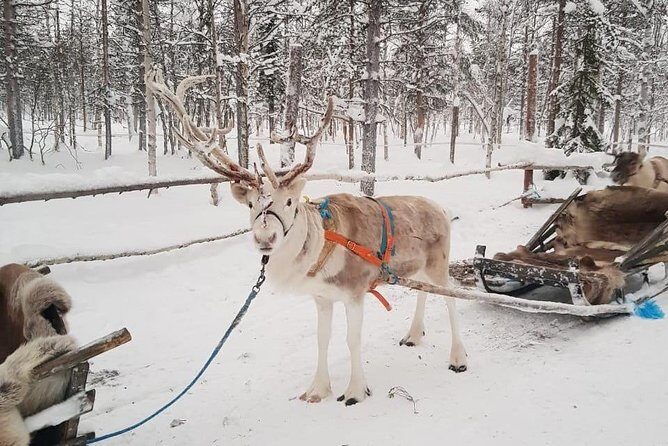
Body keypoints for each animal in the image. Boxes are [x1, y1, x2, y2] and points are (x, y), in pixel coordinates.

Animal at [147, 69, 468, 406]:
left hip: (439, 263)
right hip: (417, 268)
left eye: (289, 202)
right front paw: (317, 389)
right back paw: (413, 335)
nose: (265, 236)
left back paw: (458, 358)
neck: (320, 248)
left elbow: (352, 340)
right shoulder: (322, 297)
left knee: (450, 299)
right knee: (424, 292)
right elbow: (322, 339)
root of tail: (442, 209)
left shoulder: (354, 292)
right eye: (250, 204)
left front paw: (355, 390)